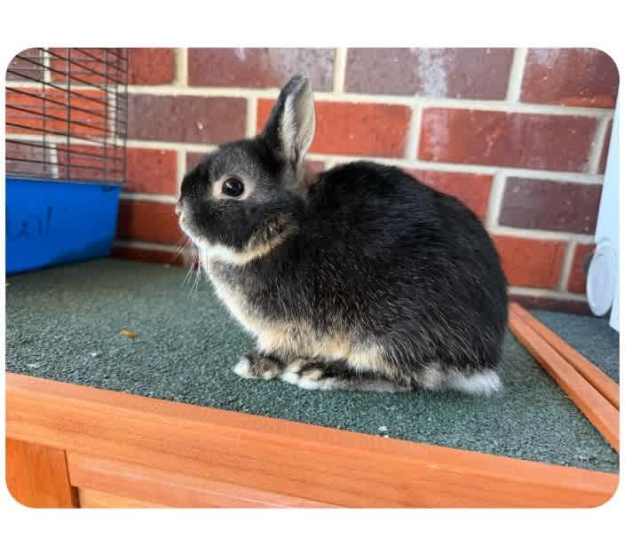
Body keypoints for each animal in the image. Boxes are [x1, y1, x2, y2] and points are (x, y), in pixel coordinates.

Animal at [177, 74, 508, 395]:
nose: (180, 210)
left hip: (387, 333)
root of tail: (481, 360)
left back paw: (322, 372)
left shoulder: (291, 327)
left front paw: (256, 364)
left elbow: (282, 348)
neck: (284, 230)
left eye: (232, 187)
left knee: (402, 378)